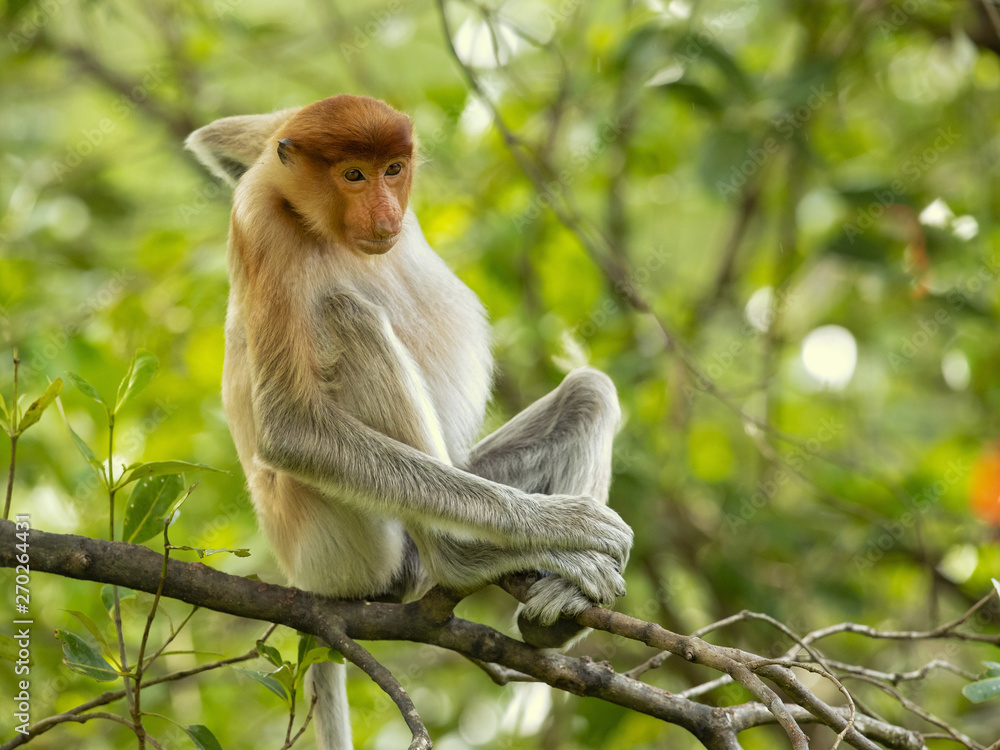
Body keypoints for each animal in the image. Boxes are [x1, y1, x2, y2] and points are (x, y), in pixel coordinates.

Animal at [185, 94, 632, 750]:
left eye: (393, 169)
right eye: (353, 175)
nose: (385, 212)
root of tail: (302, 576)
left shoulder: (276, 148)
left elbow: (231, 136)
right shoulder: (259, 226)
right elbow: (289, 430)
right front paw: (564, 525)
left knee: (588, 393)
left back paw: (557, 605)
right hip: (340, 547)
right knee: (344, 314)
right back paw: (462, 557)